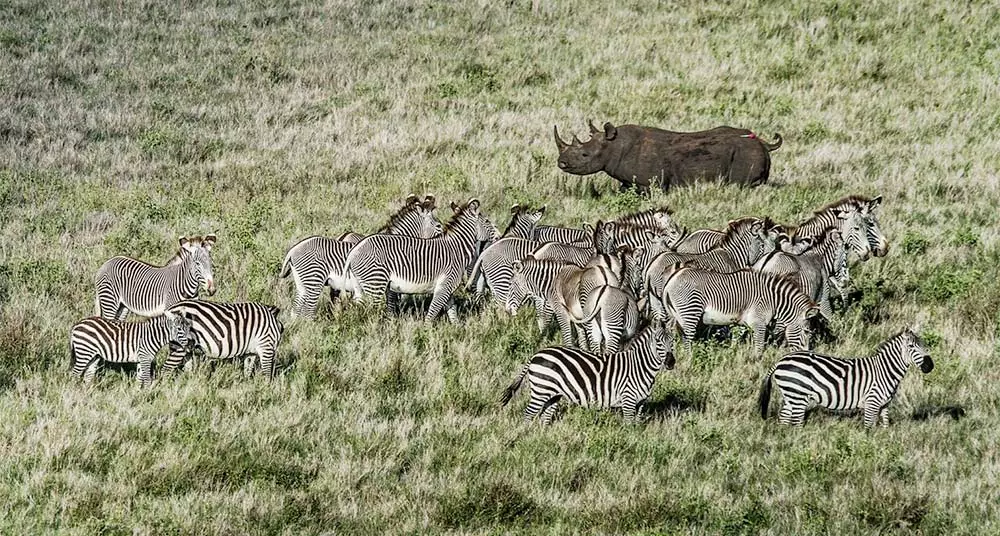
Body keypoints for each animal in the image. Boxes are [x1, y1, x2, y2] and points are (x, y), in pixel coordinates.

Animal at [344, 198, 496, 320]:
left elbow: (452, 312)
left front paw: (457, 331)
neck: (456, 248)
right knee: (371, 313)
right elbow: (430, 311)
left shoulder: (446, 286)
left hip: (360, 287)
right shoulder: (443, 285)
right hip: (375, 283)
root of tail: (354, 251)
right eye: (487, 221)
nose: (499, 236)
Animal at [504, 322, 676, 422]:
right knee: (528, 415)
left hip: (553, 394)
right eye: (658, 341)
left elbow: (637, 425)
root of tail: (536, 354)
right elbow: (629, 426)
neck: (640, 366)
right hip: (541, 390)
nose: (671, 362)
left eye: (673, 341)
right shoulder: (628, 400)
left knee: (544, 417)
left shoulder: (641, 403)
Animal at [648, 264, 820, 356]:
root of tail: (674, 277)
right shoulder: (759, 323)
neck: (774, 300)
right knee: (687, 339)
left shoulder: (741, 321)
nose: (806, 354)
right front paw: (757, 363)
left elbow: (736, 339)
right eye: (806, 332)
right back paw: (689, 360)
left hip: (673, 314)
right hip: (690, 312)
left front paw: (733, 354)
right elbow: (759, 346)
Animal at [760, 326, 932, 428]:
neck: (885, 370)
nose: (930, 366)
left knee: (784, 419)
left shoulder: (884, 405)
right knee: (795, 423)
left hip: (790, 395)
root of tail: (780, 361)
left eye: (923, 345)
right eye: (911, 346)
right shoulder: (872, 402)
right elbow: (868, 429)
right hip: (798, 395)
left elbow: (885, 426)